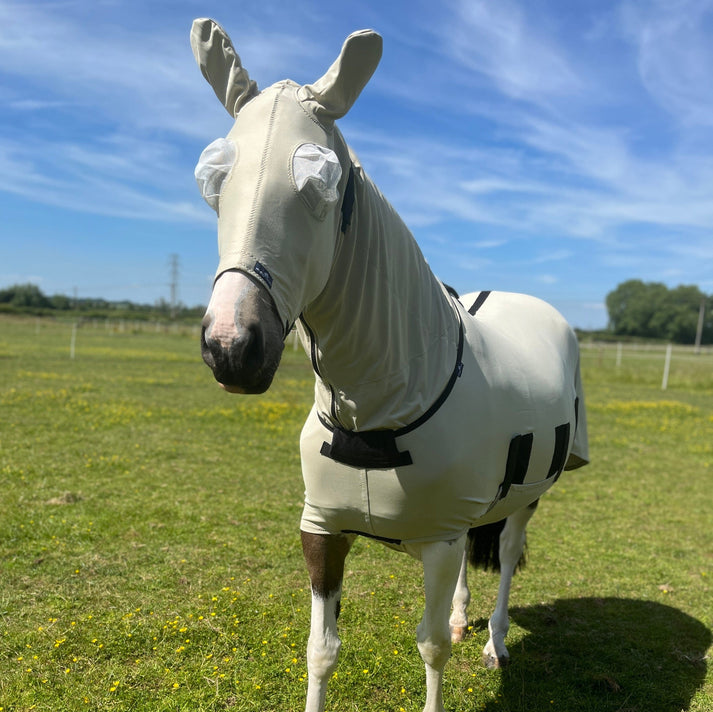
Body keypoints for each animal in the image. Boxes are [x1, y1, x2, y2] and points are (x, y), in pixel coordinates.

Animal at [191, 19, 589, 712]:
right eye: (214, 184)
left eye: (321, 187)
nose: (232, 346)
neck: (382, 398)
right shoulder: (323, 530)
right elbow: (321, 650)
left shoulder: (439, 541)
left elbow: (429, 650)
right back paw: (463, 618)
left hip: (528, 498)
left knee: (509, 553)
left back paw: (495, 642)